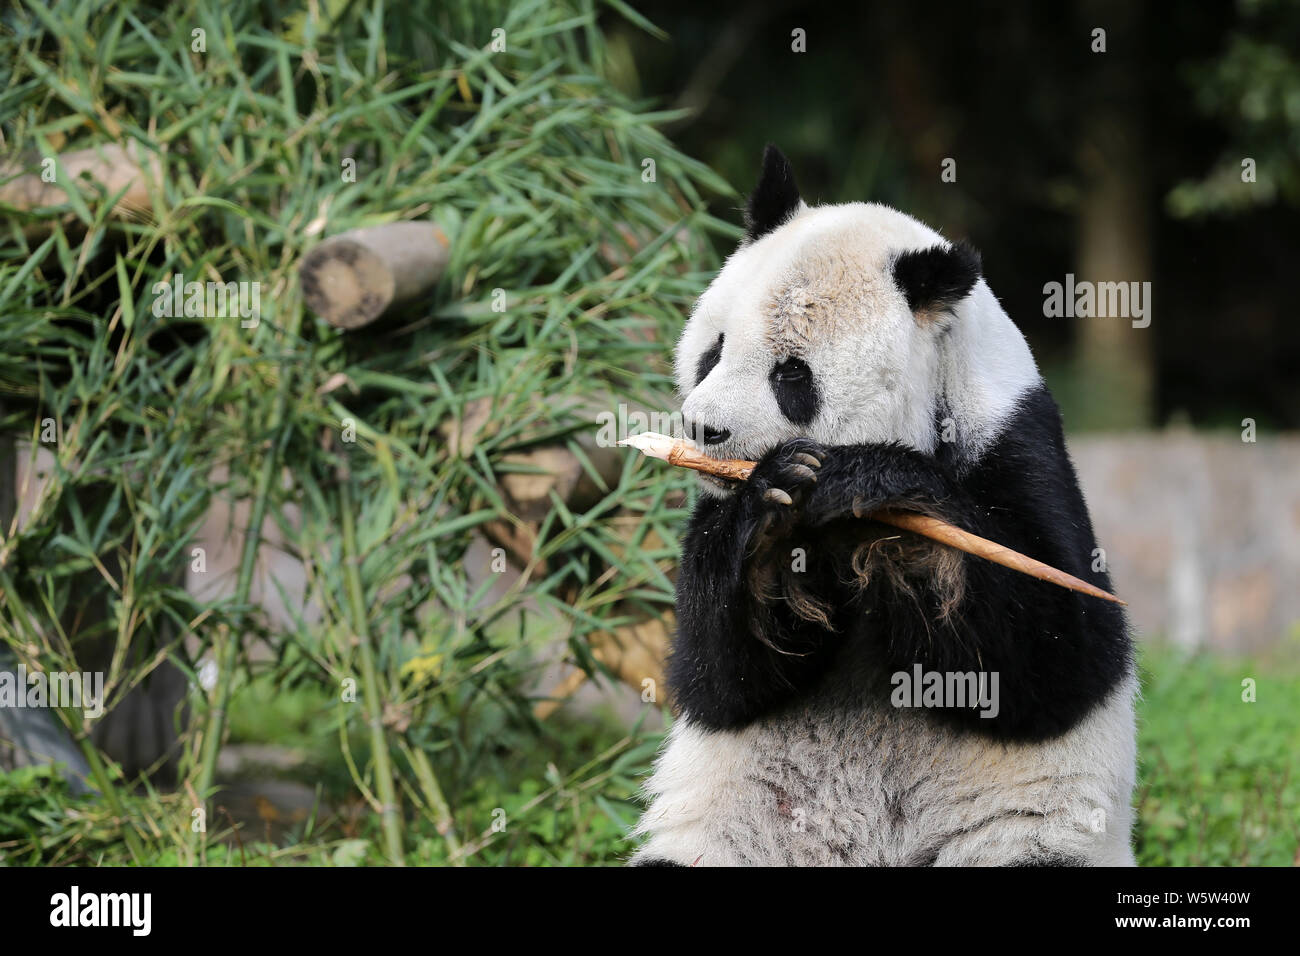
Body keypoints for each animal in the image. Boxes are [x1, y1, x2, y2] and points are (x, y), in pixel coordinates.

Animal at [630, 146, 1137, 867]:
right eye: (714, 351)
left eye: (791, 375)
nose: (703, 429)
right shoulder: (713, 519)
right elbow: (717, 679)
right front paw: (770, 514)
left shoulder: (1016, 442)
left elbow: (1061, 656)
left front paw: (876, 486)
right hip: (731, 831)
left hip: (1019, 835)